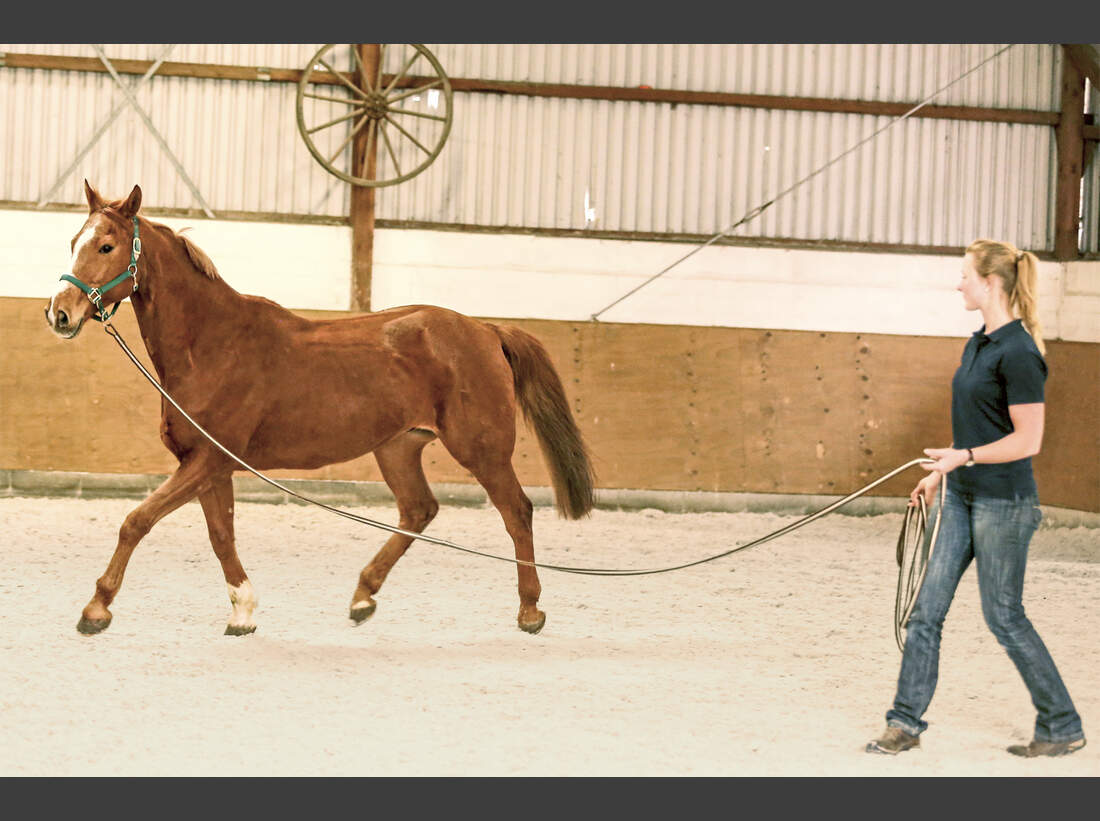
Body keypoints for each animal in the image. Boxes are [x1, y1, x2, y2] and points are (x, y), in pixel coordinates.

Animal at [44, 181, 595, 637]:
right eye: (73, 240)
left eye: (107, 246)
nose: (59, 313)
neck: (213, 344)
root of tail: (485, 329)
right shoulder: (207, 465)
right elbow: (221, 535)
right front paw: (243, 612)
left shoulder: (208, 460)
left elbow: (137, 521)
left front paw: (96, 609)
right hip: (398, 447)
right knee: (419, 509)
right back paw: (363, 597)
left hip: (481, 449)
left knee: (516, 512)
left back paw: (530, 610)